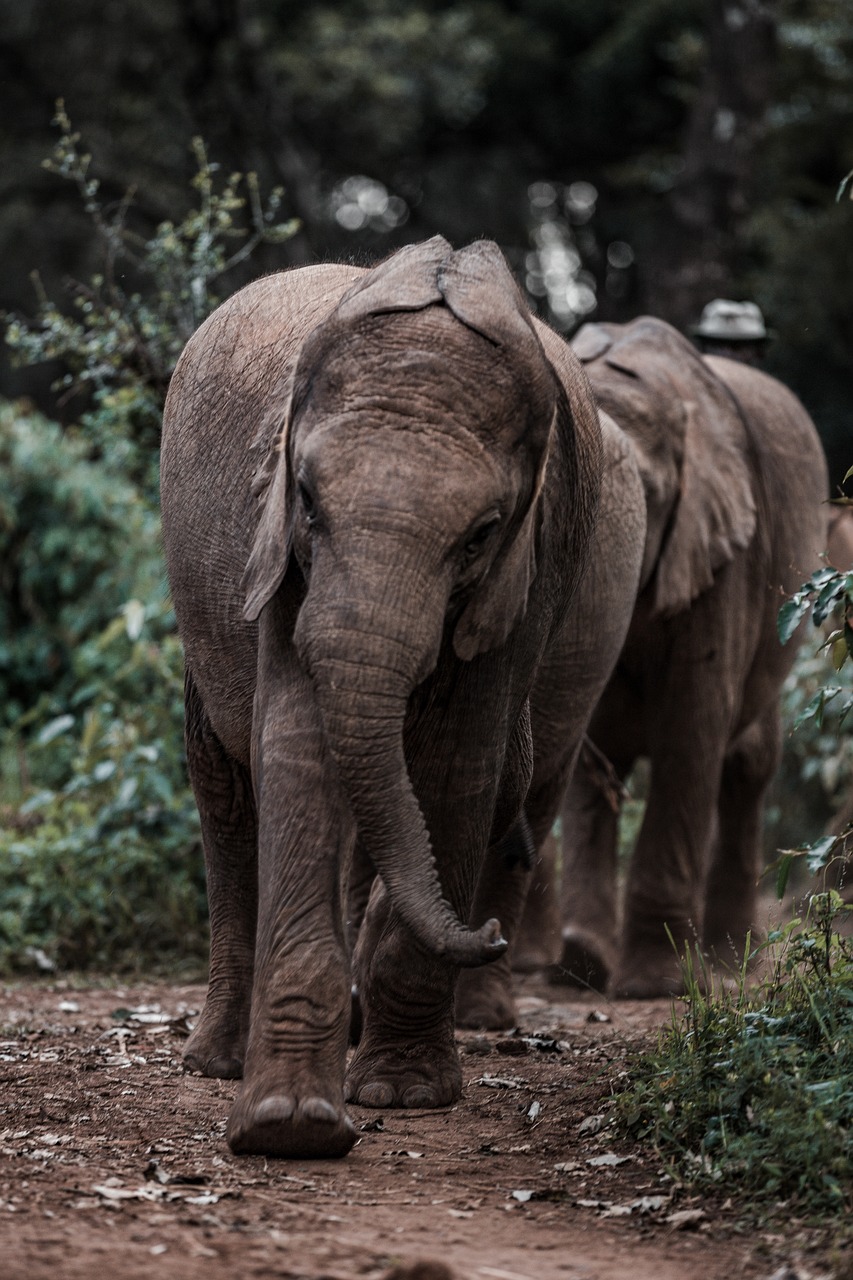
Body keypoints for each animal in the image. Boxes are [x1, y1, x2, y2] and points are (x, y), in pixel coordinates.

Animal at [159, 237, 646, 1157]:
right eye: (307, 500)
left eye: (480, 535)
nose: (490, 936)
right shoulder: (276, 553)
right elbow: (295, 747)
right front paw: (289, 1127)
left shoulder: (529, 570)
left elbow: (458, 767)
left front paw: (402, 1094)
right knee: (226, 796)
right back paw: (215, 1063)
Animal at [519, 316, 828, 999]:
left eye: (651, 497)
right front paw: (582, 967)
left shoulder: (725, 548)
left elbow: (692, 725)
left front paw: (658, 985)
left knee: (747, 767)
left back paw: (726, 960)